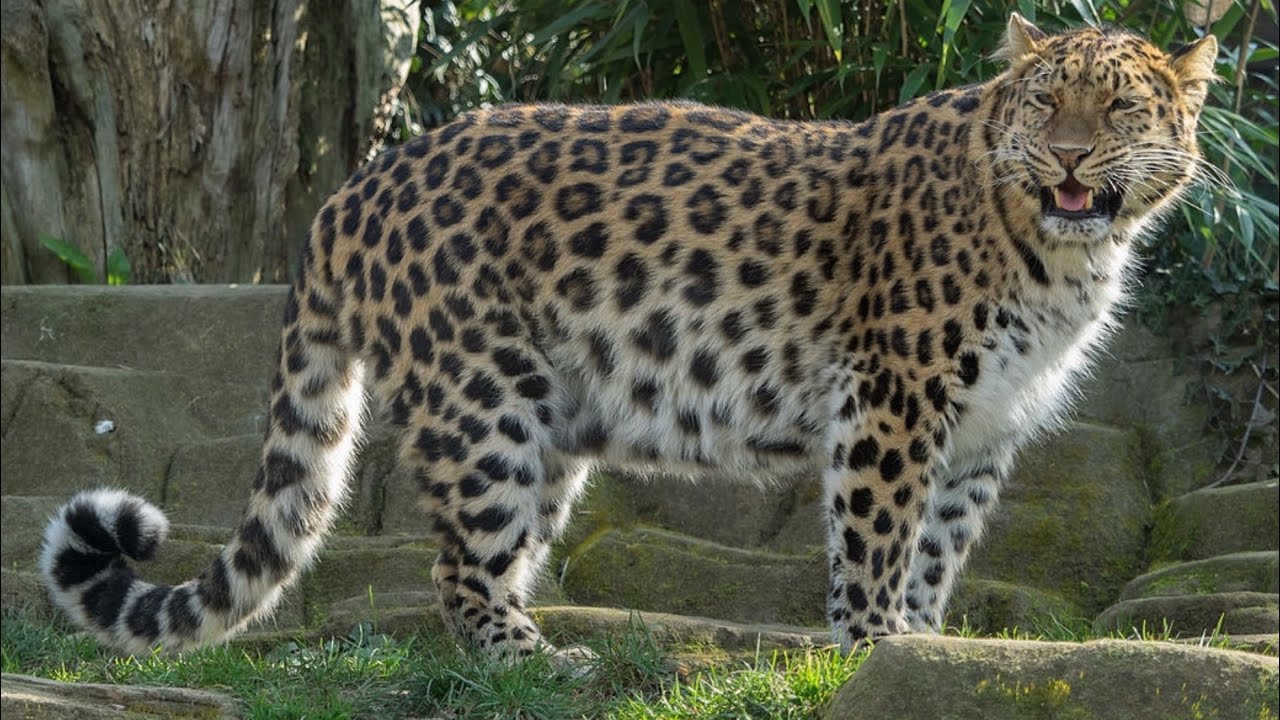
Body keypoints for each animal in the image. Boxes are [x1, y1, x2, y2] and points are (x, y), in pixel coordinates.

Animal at [40, 14, 1217, 661]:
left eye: (1118, 111)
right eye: (1046, 102)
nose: (1068, 159)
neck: (1063, 254)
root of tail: (352, 189)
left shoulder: (980, 427)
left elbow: (938, 544)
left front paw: (919, 653)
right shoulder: (893, 400)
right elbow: (880, 538)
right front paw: (874, 645)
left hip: (551, 418)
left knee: (496, 553)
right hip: (483, 401)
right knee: (458, 569)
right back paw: (536, 665)